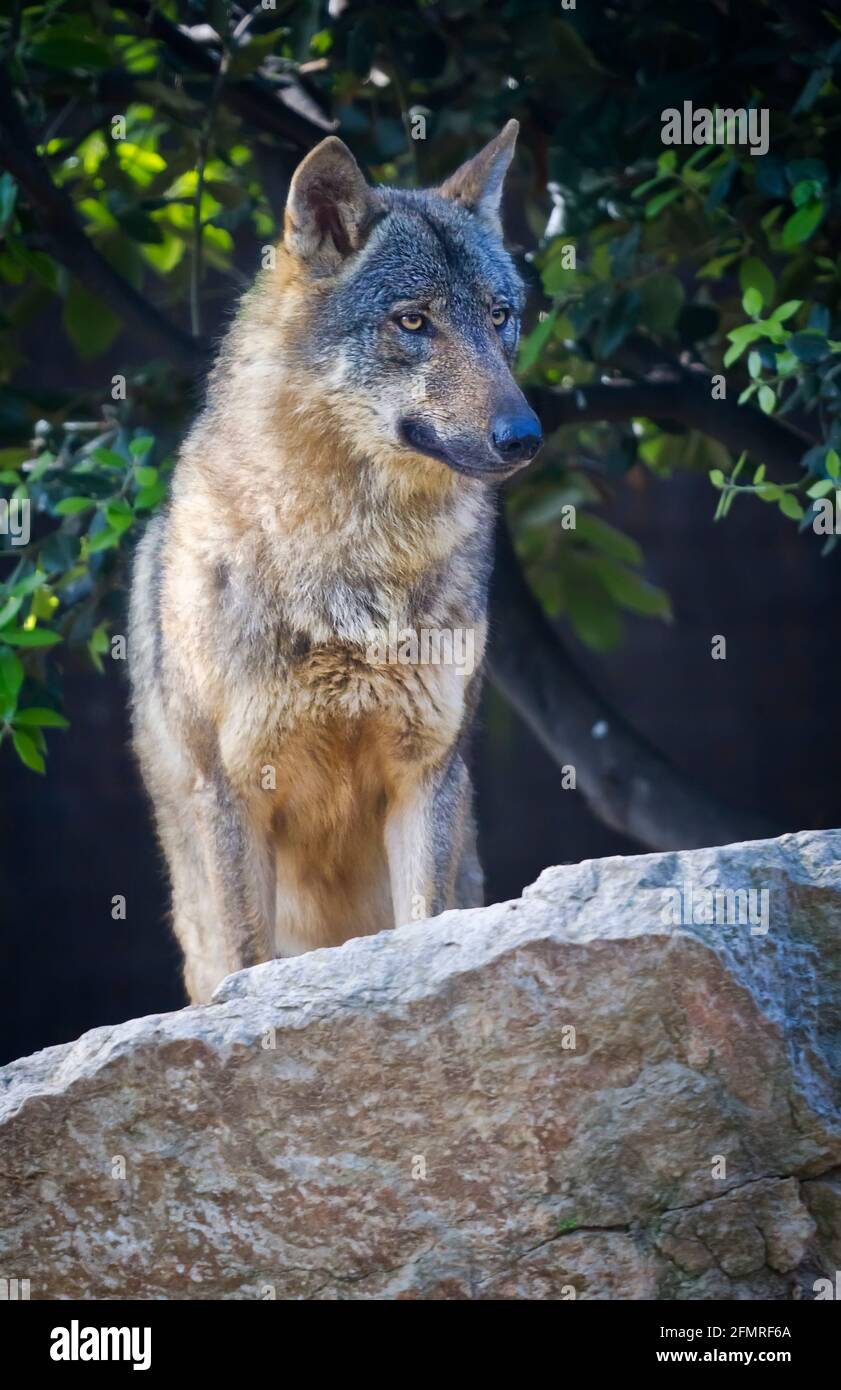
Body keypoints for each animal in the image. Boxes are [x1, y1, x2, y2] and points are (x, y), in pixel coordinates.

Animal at [129, 120, 542, 1002]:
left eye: (499, 317)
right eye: (413, 321)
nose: (524, 437)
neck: (353, 563)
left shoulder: (426, 774)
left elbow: (425, 930)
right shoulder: (235, 787)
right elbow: (248, 963)